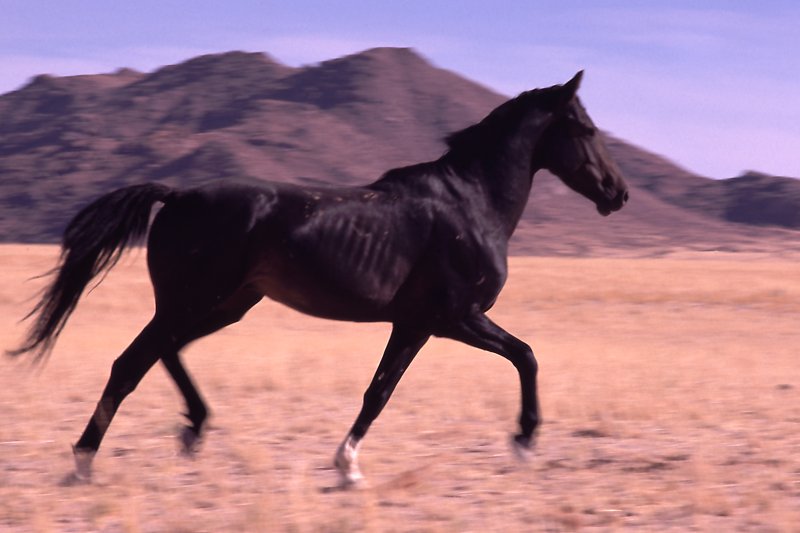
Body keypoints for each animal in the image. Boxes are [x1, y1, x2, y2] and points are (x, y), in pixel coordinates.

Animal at [9, 71, 628, 486]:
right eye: (585, 128)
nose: (617, 193)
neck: (471, 204)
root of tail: (178, 195)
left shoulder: (415, 324)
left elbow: (380, 390)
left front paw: (346, 465)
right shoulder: (453, 317)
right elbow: (523, 356)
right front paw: (523, 440)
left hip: (225, 304)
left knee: (164, 353)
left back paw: (193, 429)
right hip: (193, 302)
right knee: (131, 363)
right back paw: (85, 460)